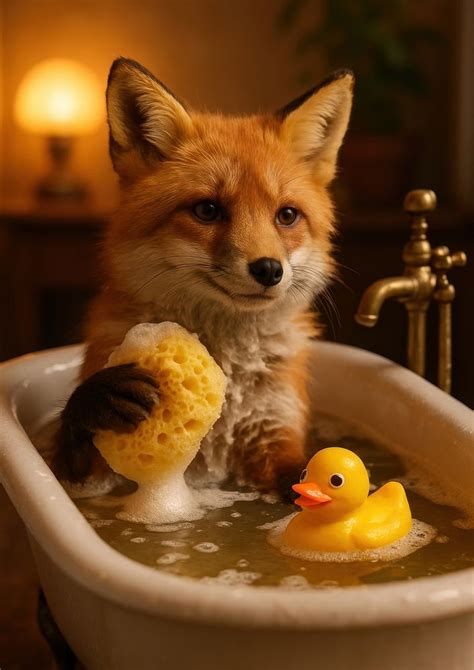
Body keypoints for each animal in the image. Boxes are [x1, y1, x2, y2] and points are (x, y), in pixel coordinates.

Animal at [53, 57, 354, 497]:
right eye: (207, 210)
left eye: (287, 215)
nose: (269, 269)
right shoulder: (89, 477)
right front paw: (95, 398)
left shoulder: (274, 434)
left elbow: (302, 477)